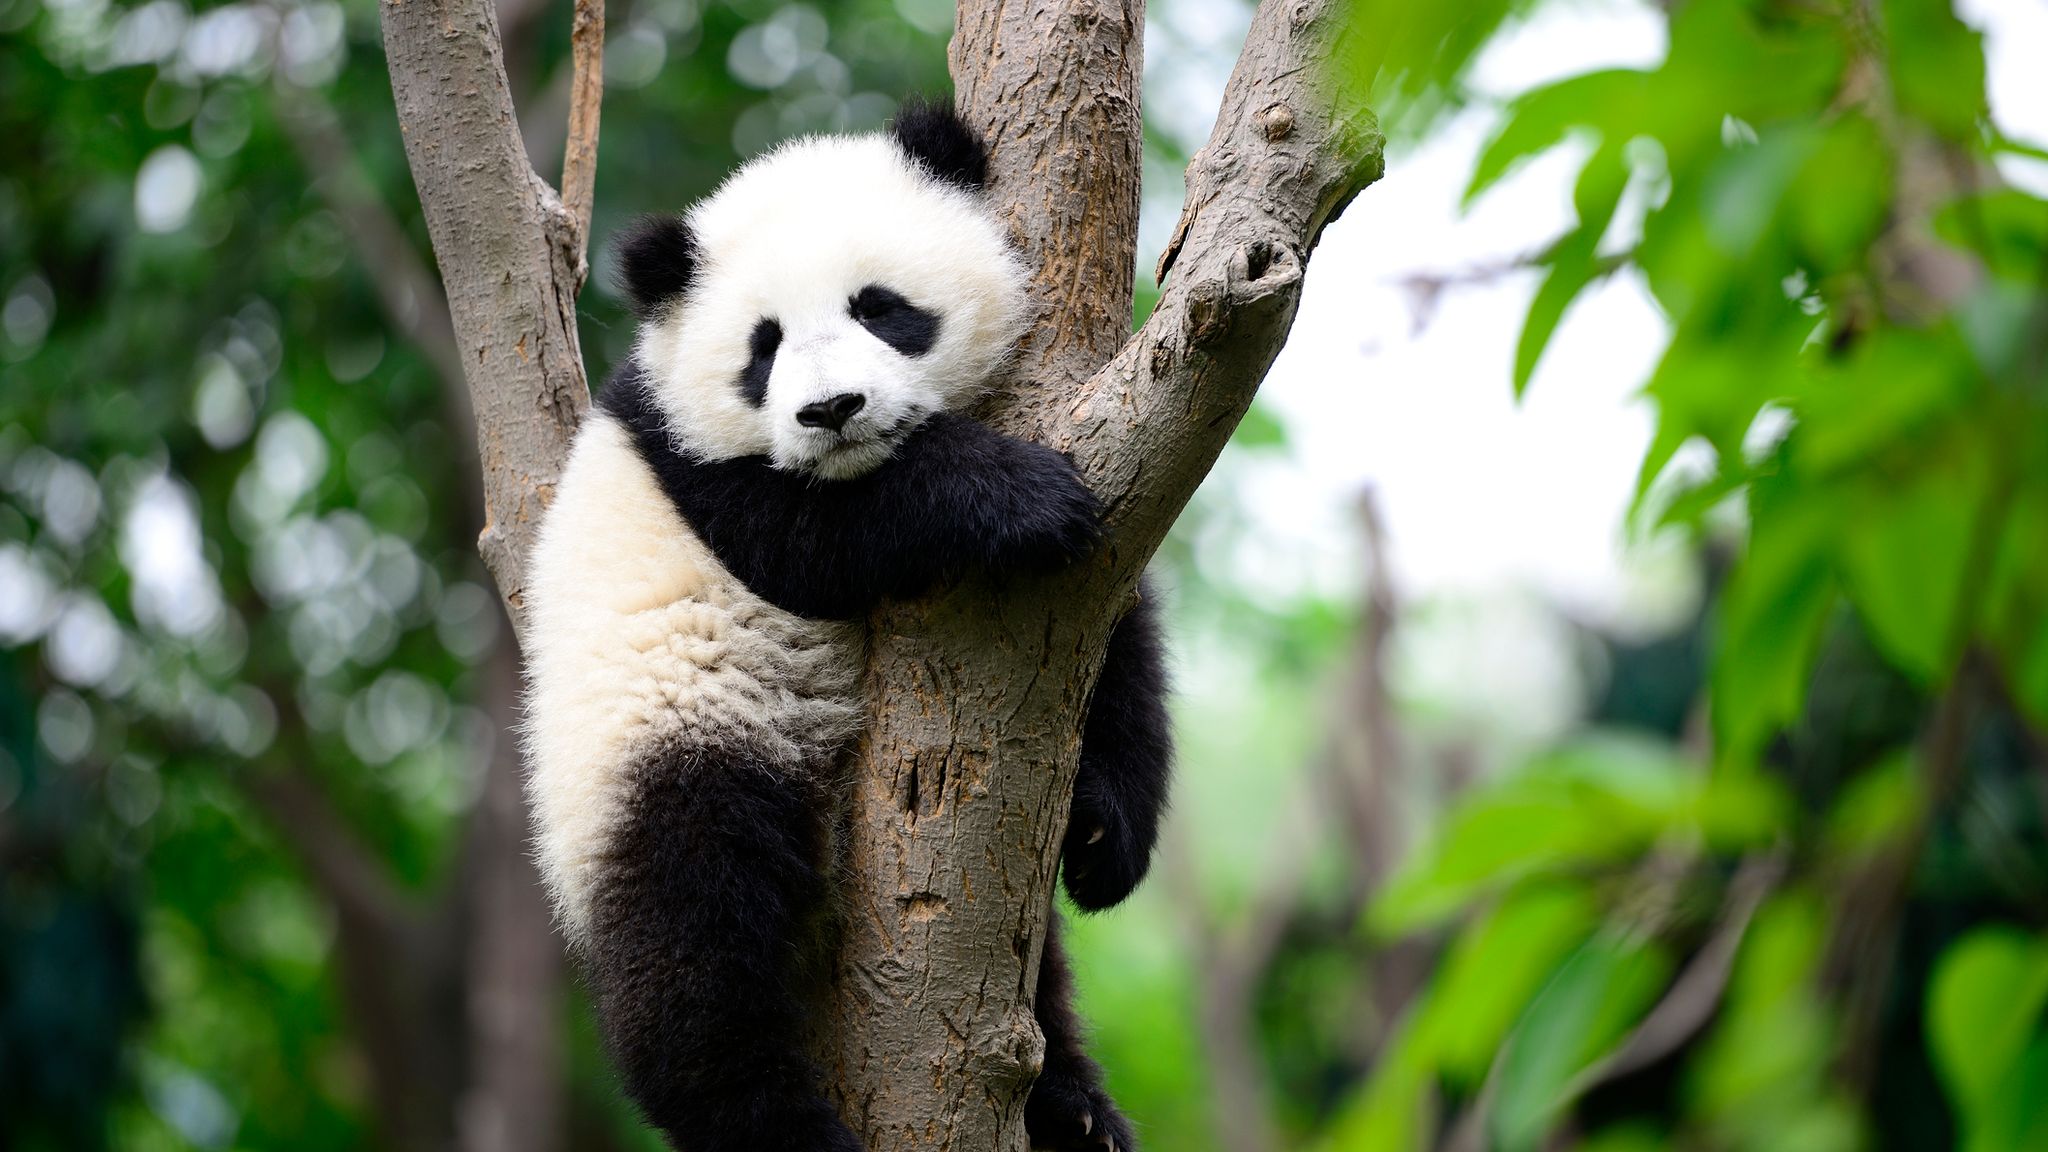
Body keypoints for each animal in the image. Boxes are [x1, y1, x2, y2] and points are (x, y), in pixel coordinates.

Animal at [521, 99, 1172, 1152]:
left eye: (879, 307)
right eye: (763, 346)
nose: (832, 410)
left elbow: (1116, 639)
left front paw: (1101, 835)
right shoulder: (695, 469)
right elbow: (821, 537)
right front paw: (1016, 495)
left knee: (1031, 976)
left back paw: (1075, 1111)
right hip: (662, 741)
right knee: (693, 931)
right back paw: (775, 1119)